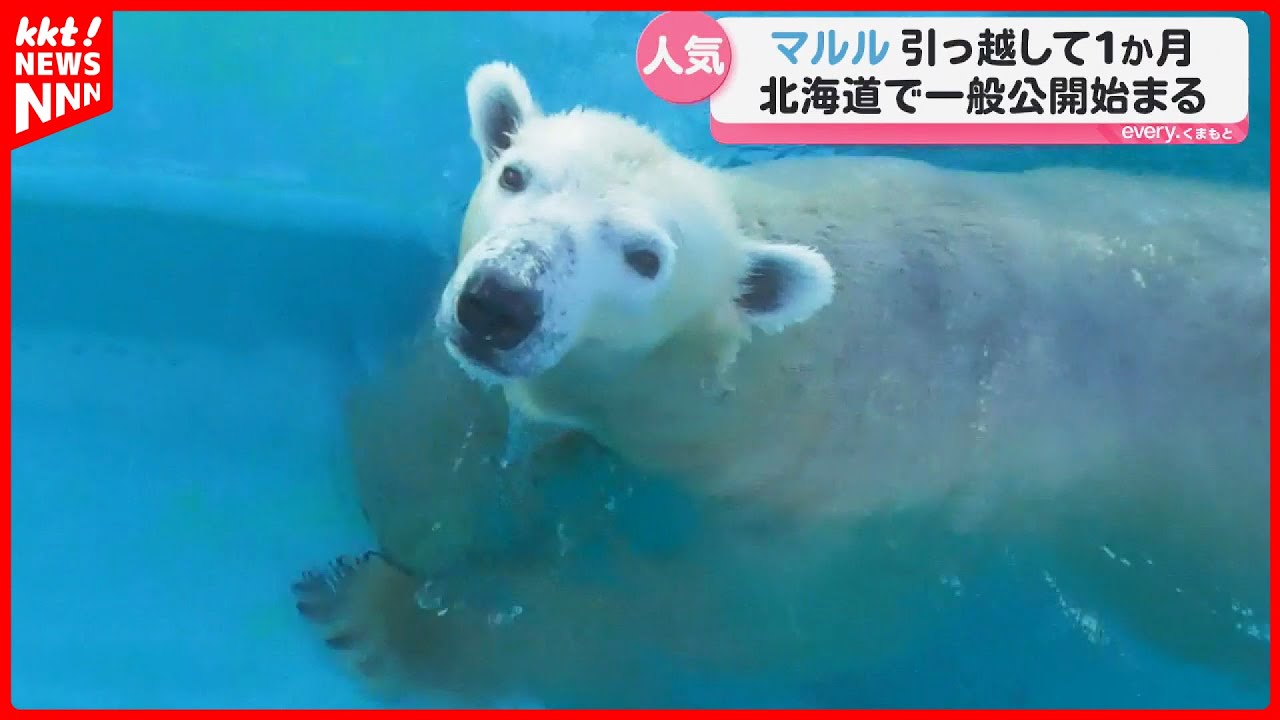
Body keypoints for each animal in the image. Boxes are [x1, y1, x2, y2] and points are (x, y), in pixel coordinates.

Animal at [294, 61, 1271, 707]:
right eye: (515, 173)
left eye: (645, 257)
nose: (500, 303)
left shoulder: (856, 495)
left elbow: (711, 617)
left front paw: (390, 621)